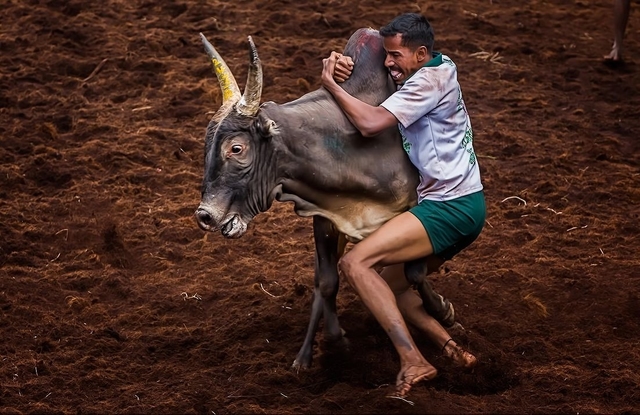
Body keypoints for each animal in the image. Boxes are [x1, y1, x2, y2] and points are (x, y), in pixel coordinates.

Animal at [194, 28, 455, 371]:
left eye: (236, 148)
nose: (205, 215)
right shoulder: (327, 219)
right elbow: (328, 281)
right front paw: (334, 342)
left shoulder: (414, 208)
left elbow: (415, 272)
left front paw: (442, 310)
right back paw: (305, 356)